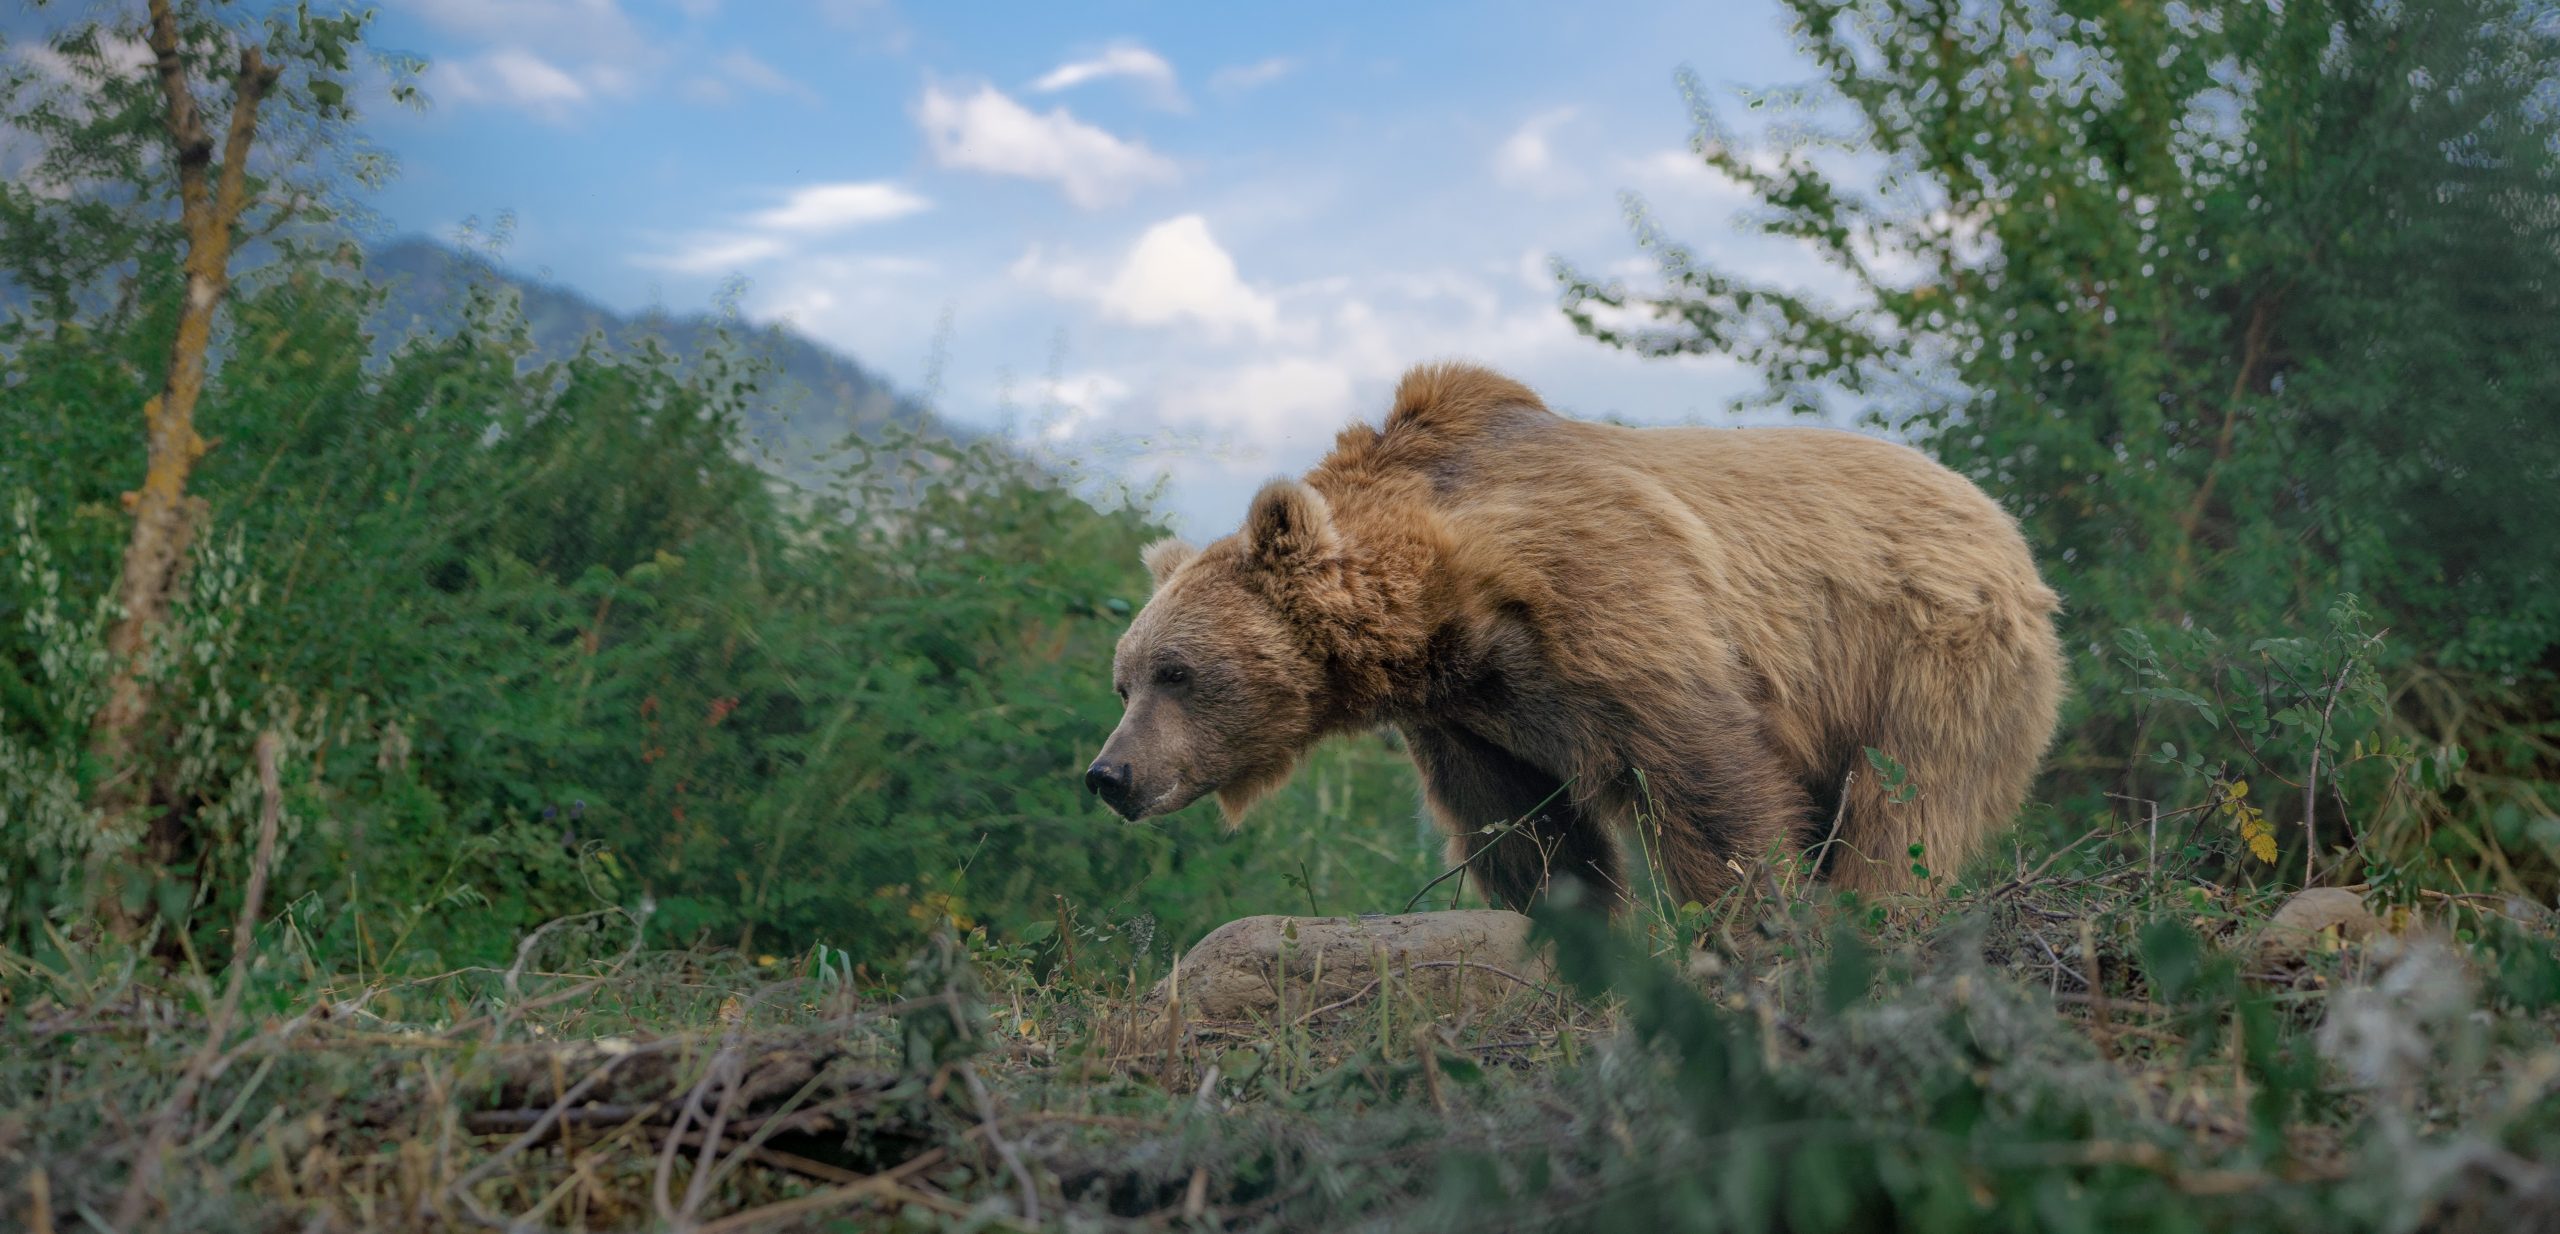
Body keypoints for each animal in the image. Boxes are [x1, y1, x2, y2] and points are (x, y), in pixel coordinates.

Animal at [1084, 362, 2065, 908]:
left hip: (1922, 655)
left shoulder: (1606, 605)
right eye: (1124, 680)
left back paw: (1879, 910)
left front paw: (1750, 926)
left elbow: (1710, 789)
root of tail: (2002, 522)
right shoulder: (1469, 719)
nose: (1109, 774)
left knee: (1904, 807)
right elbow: (1527, 836)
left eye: (1177, 671)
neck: (1445, 612)